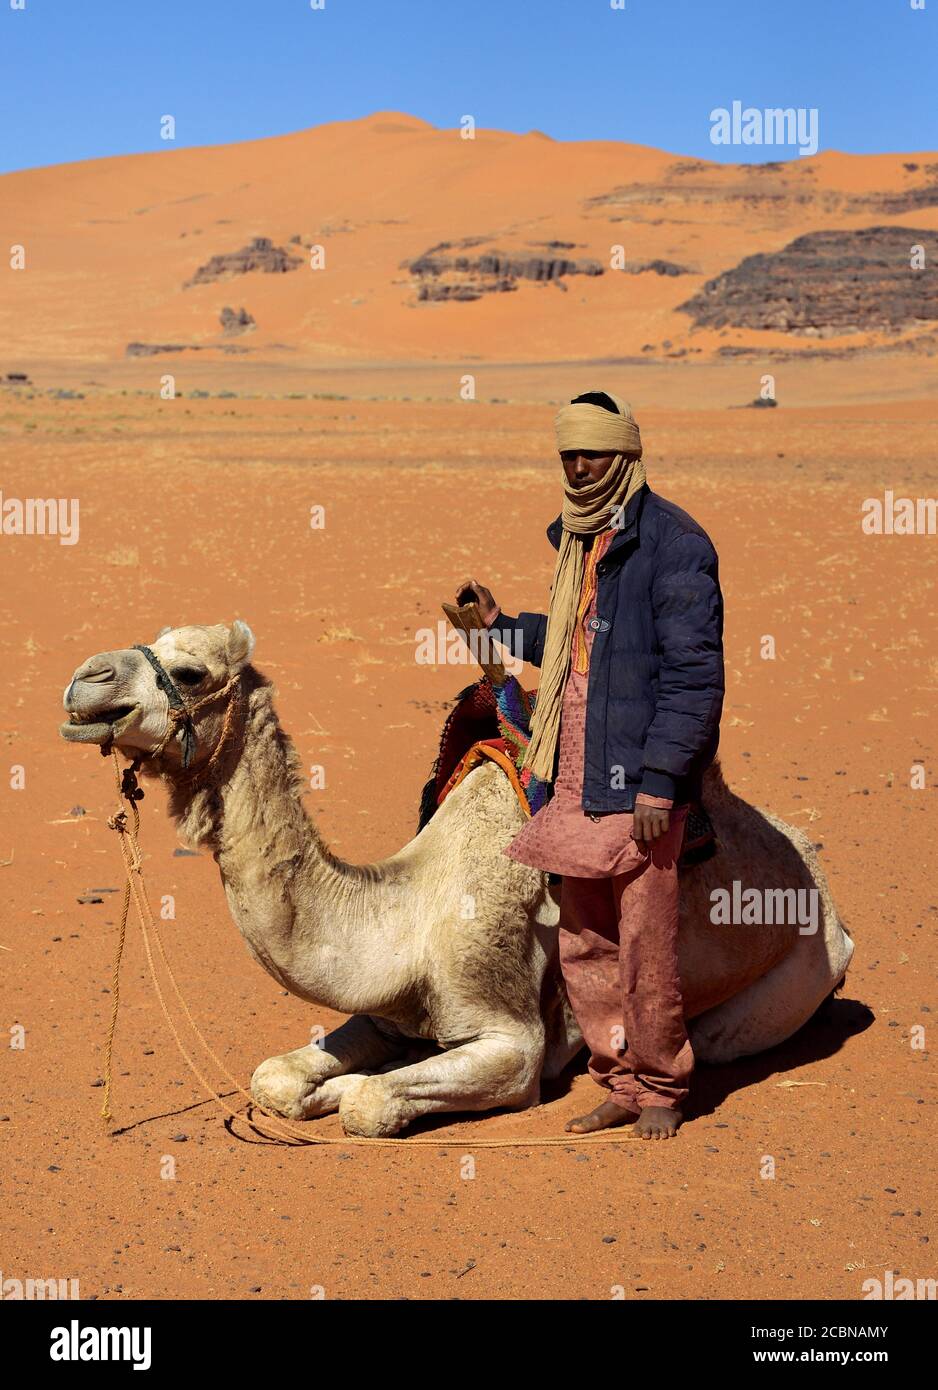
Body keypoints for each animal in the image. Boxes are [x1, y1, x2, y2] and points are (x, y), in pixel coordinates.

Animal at [60, 620, 854, 1137]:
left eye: (192, 672)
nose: (83, 681)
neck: (409, 910)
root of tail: (829, 901)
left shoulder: (511, 1042)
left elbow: (368, 1103)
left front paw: (346, 1090)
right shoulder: (383, 1006)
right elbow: (276, 1079)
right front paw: (322, 1085)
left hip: (790, 984)